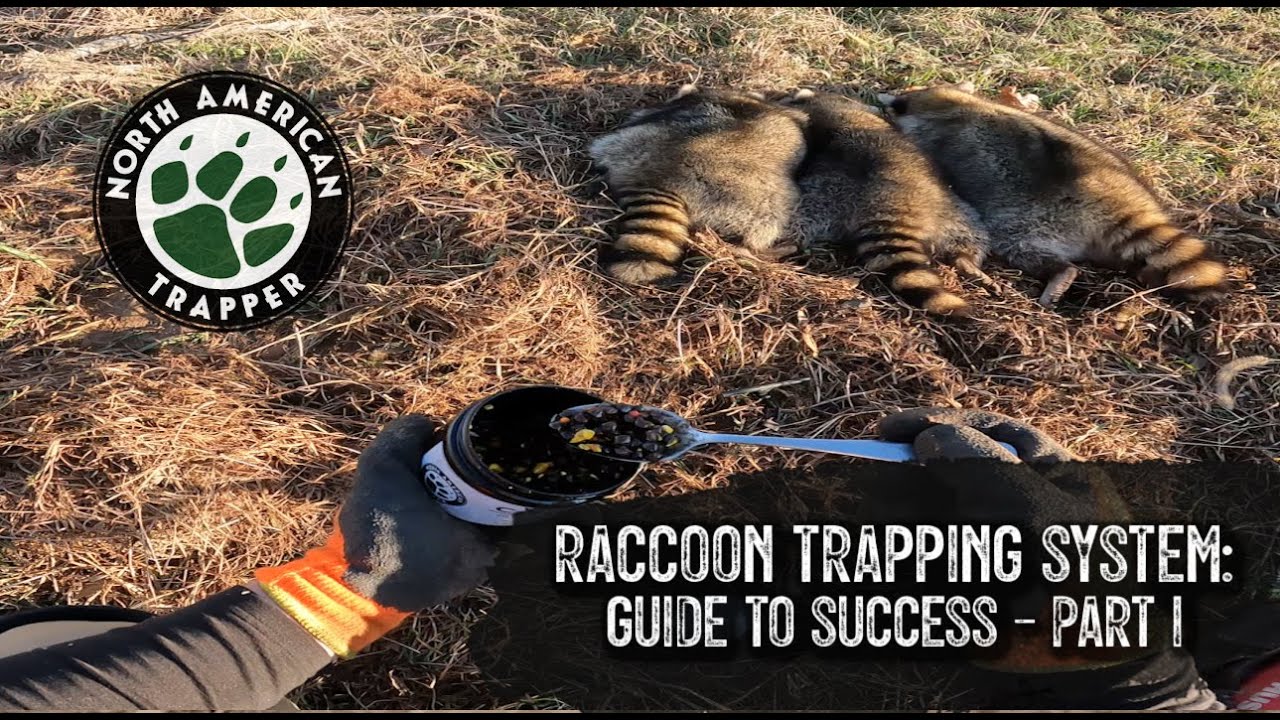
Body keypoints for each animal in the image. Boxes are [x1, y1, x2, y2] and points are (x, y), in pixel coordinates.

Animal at [883, 84, 1228, 306]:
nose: (887, 100)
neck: (955, 102)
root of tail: (1124, 203)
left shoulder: (932, 136)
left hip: (1037, 217)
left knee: (1021, 246)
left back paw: (1059, 273)